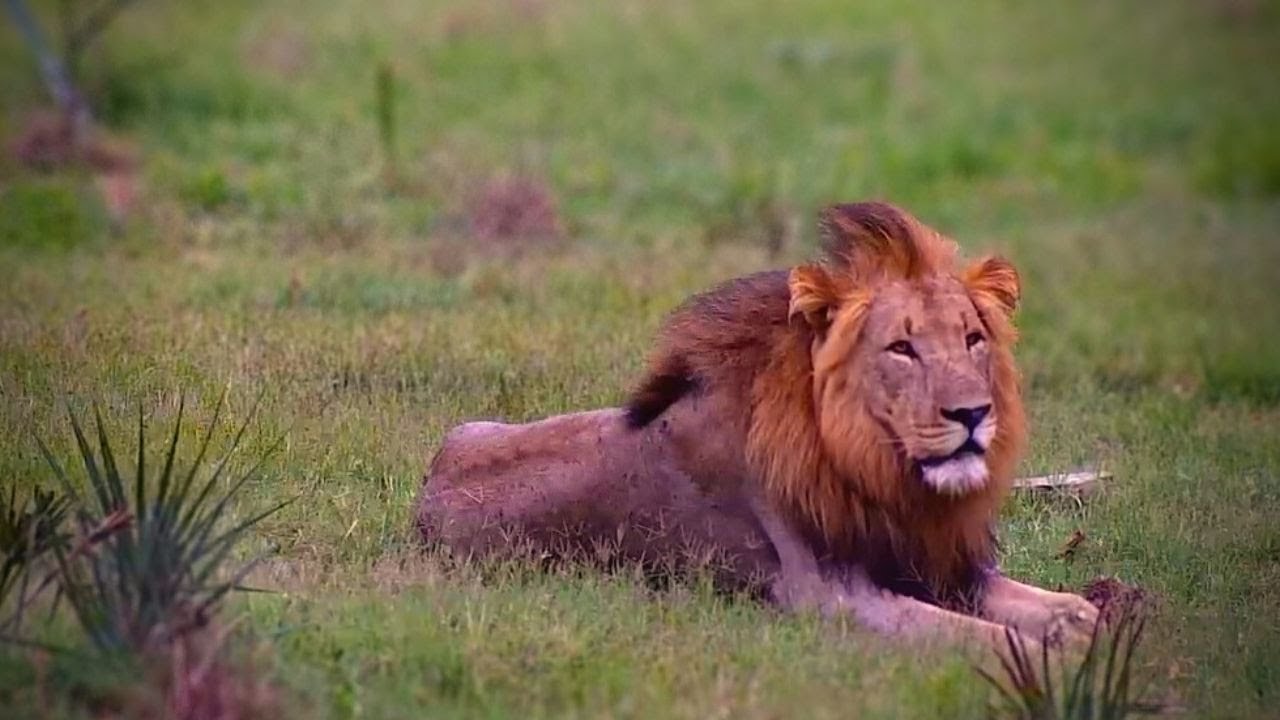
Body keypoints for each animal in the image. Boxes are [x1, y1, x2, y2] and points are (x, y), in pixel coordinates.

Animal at [417, 201, 1099, 650]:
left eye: (972, 339)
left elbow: (1050, 605)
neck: (881, 473)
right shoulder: (830, 598)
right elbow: (985, 638)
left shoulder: (936, 564)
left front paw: (1093, 627)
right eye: (902, 349)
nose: (972, 414)